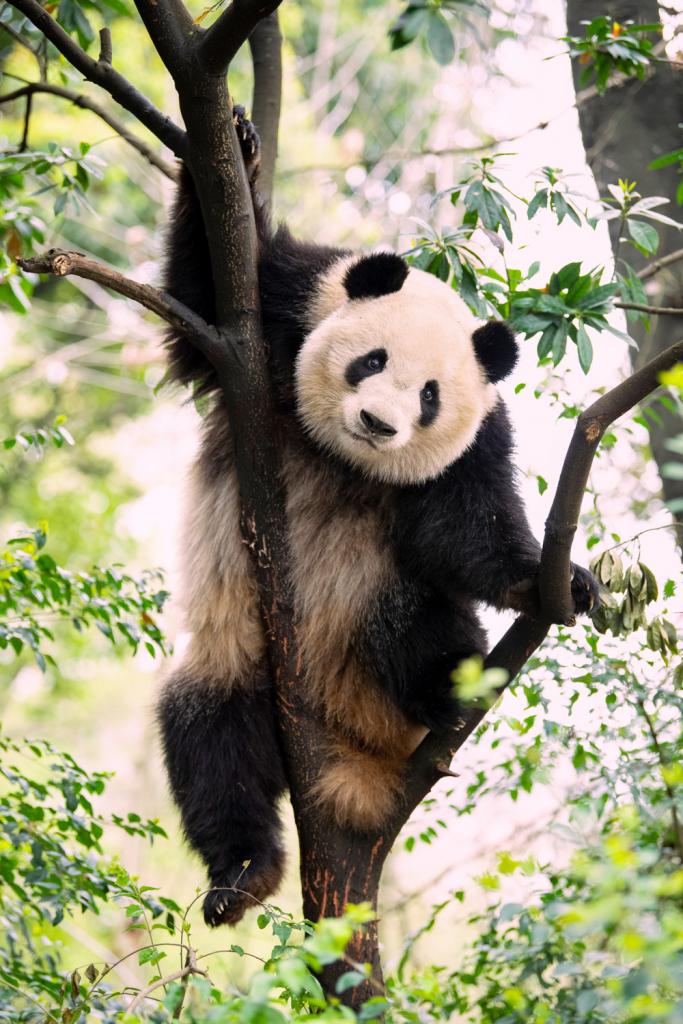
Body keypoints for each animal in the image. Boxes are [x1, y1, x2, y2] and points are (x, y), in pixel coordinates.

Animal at [158, 109, 599, 928]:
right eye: (371, 361)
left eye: (428, 396)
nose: (376, 423)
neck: (344, 455)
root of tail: (341, 736)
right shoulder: (282, 310)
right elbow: (203, 290)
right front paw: (236, 144)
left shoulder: (473, 444)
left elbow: (468, 531)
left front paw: (558, 581)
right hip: (240, 657)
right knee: (210, 736)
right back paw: (241, 874)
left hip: (369, 624)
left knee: (410, 623)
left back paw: (447, 687)